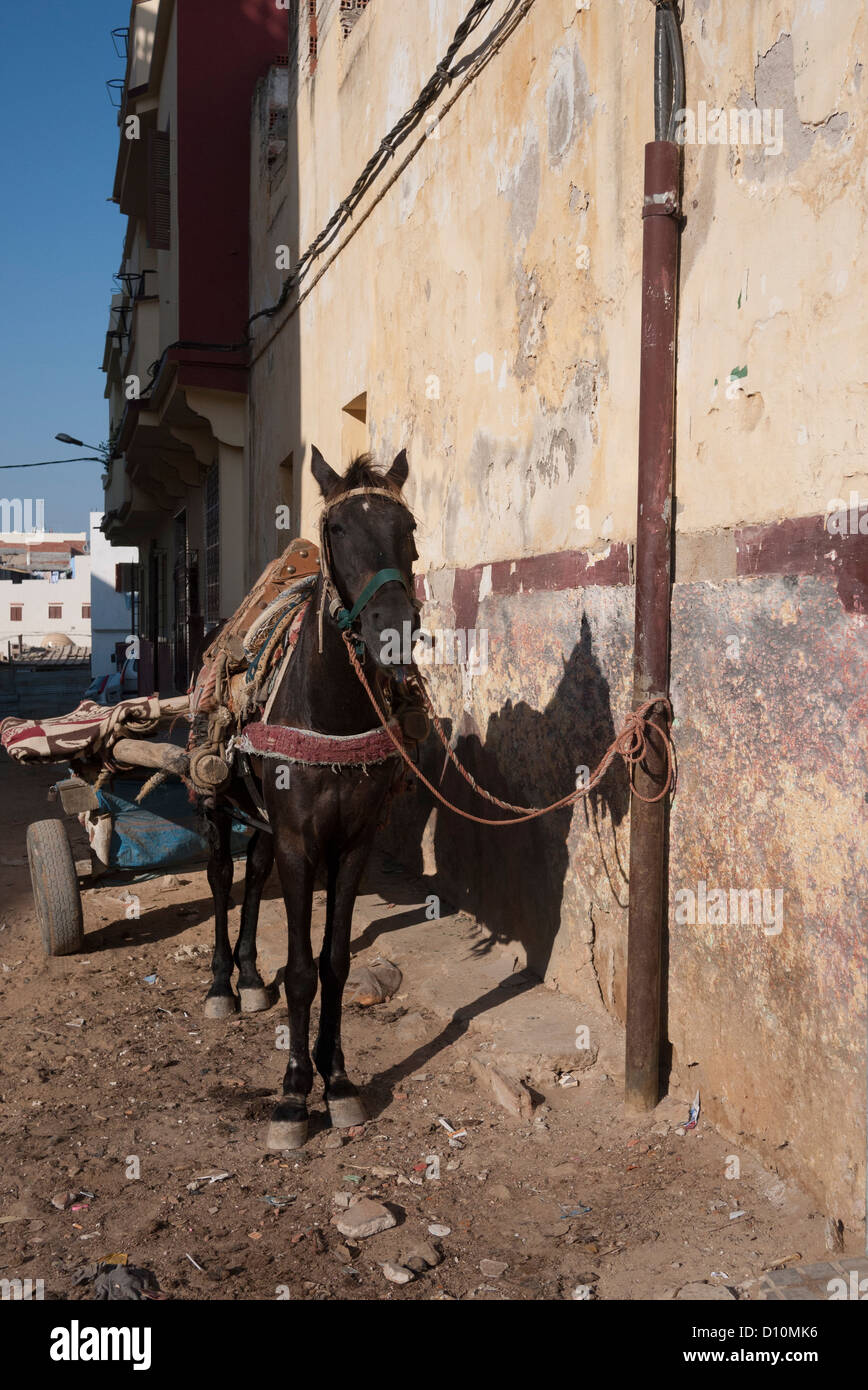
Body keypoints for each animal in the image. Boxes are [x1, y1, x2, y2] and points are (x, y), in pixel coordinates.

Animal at [200, 446, 420, 1149]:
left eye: (408, 528)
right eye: (337, 530)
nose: (393, 635)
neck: (332, 710)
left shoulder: (352, 846)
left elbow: (335, 963)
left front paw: (339, 1079)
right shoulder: (301, 840)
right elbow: (299, 969)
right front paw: (295, 1093)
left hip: (266, 821)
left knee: (252, 872)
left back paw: (248, 976)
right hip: (213, 800)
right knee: (222, 875)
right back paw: (221, 984)